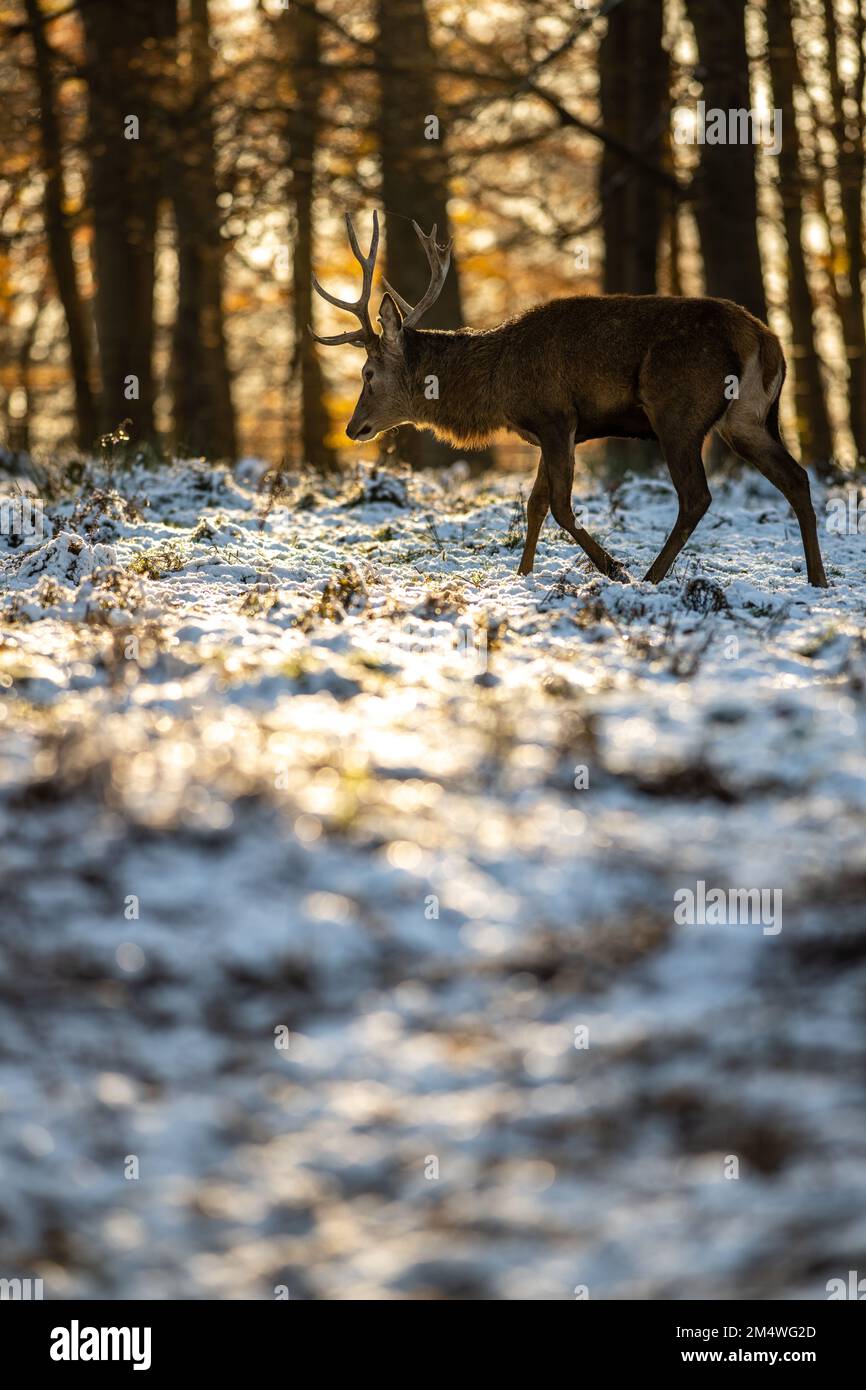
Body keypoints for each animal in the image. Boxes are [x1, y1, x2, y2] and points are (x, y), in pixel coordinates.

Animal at [311, 211, 828, 589]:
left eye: (368, 373)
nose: (353, 427)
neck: (496, 384)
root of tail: (766, 341)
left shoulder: (557, 416)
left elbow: (559, 504)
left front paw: (612, 566)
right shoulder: (547, 431)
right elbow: (536, 503)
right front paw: (522, 574)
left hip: (677, 411)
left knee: (696, 495)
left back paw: (650, 576)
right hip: (748, 419)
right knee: (797, 478)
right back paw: (818, 580)